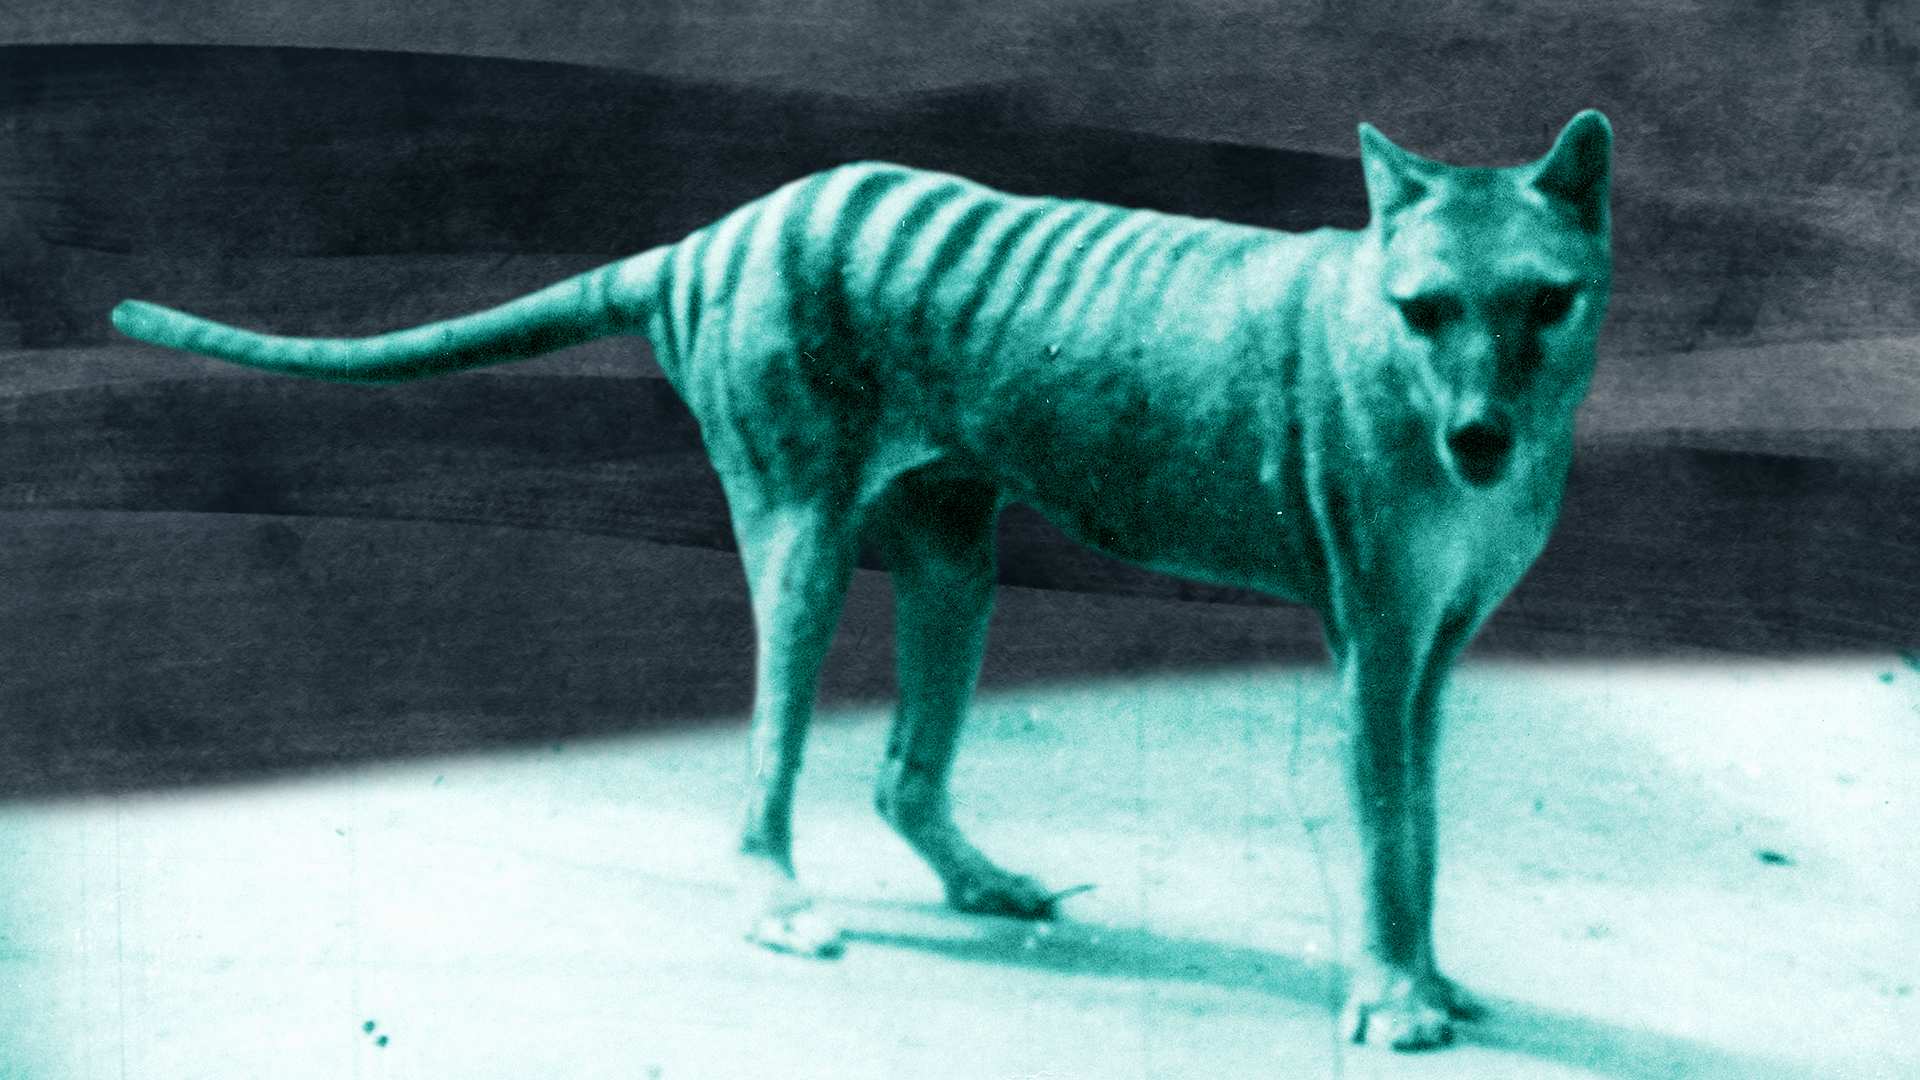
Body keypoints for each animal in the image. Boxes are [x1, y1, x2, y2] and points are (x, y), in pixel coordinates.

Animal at [111, 109, 1613, 1052]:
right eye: (1424, 309)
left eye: (1546, 300)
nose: (1480, 441)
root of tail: (705, 238)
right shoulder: (1369, 635)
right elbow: (1381, 835)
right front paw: (1392, 999)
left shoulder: (1430, 648)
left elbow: (1423, 830)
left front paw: (1430, 980)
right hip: (801, 529)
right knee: (769, 760)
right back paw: (777, 902)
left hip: (954, 546)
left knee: (900, 768)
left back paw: (983, 883)